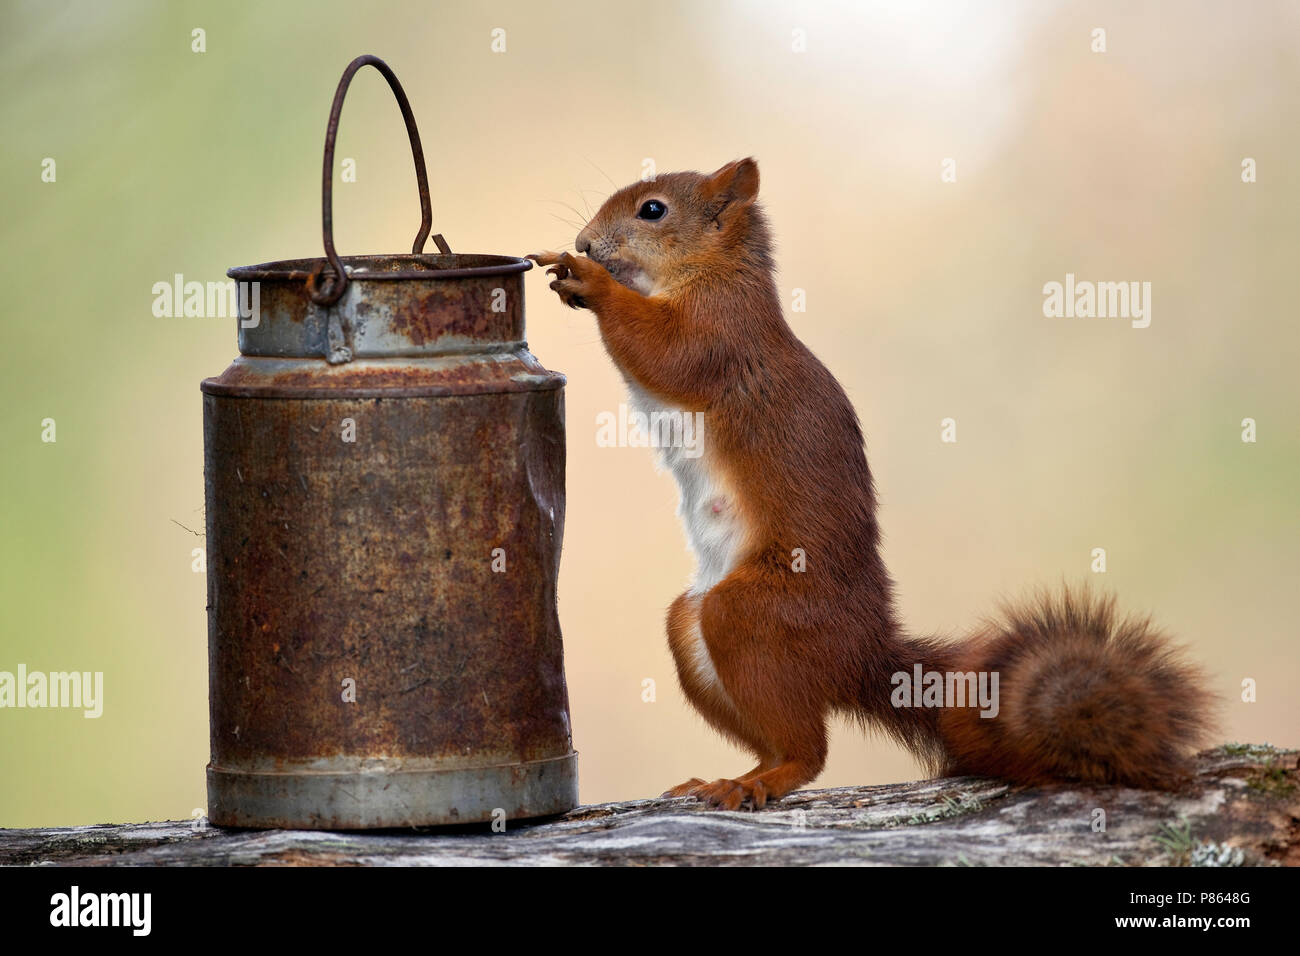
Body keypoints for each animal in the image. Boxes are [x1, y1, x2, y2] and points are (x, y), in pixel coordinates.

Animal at [529, 158, 1214, 810]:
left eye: (653, 210)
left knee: (808, 751)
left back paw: (762, 781)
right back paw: (734, 778)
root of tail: (858, 653)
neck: (709, 274)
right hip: (693, 624)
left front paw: (588, 281)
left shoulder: (721, 333)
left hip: (758, 615)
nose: (585, 242)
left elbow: (663, 351)